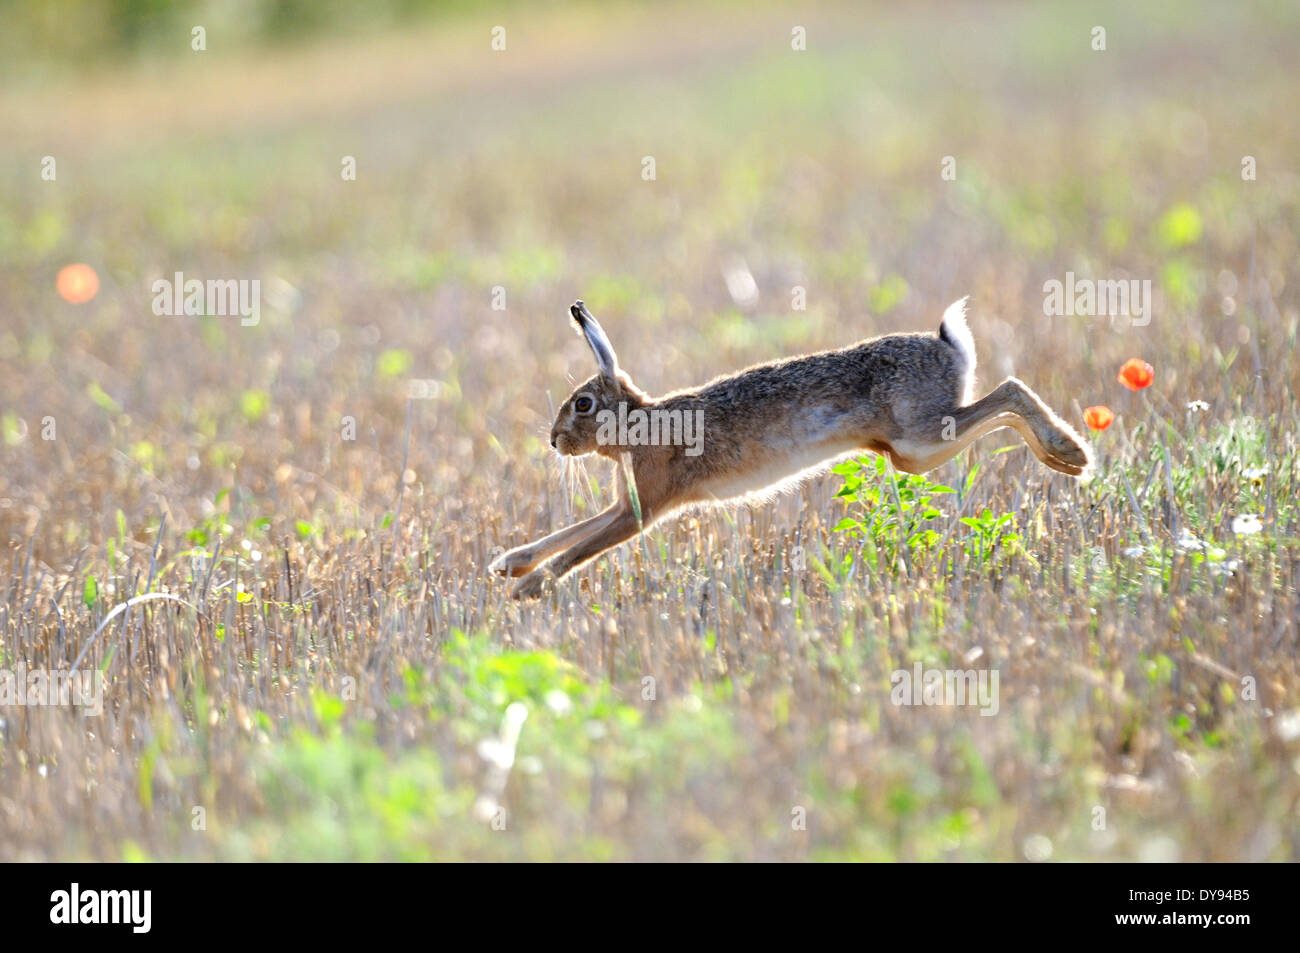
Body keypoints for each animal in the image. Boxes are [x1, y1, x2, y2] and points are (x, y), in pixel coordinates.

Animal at [491, 298, 1092, 599]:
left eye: (583, 404)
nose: (554, 441)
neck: (640, 422)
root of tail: (949, 347)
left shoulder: (641, 510)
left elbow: (584, 546)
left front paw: (530, 589)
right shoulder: (626, 501)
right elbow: (574, 531)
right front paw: (508, 566)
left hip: (920, 441)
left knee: (1010, 391)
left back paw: (1069, 452)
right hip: (912, 451)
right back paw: (1063, 455)